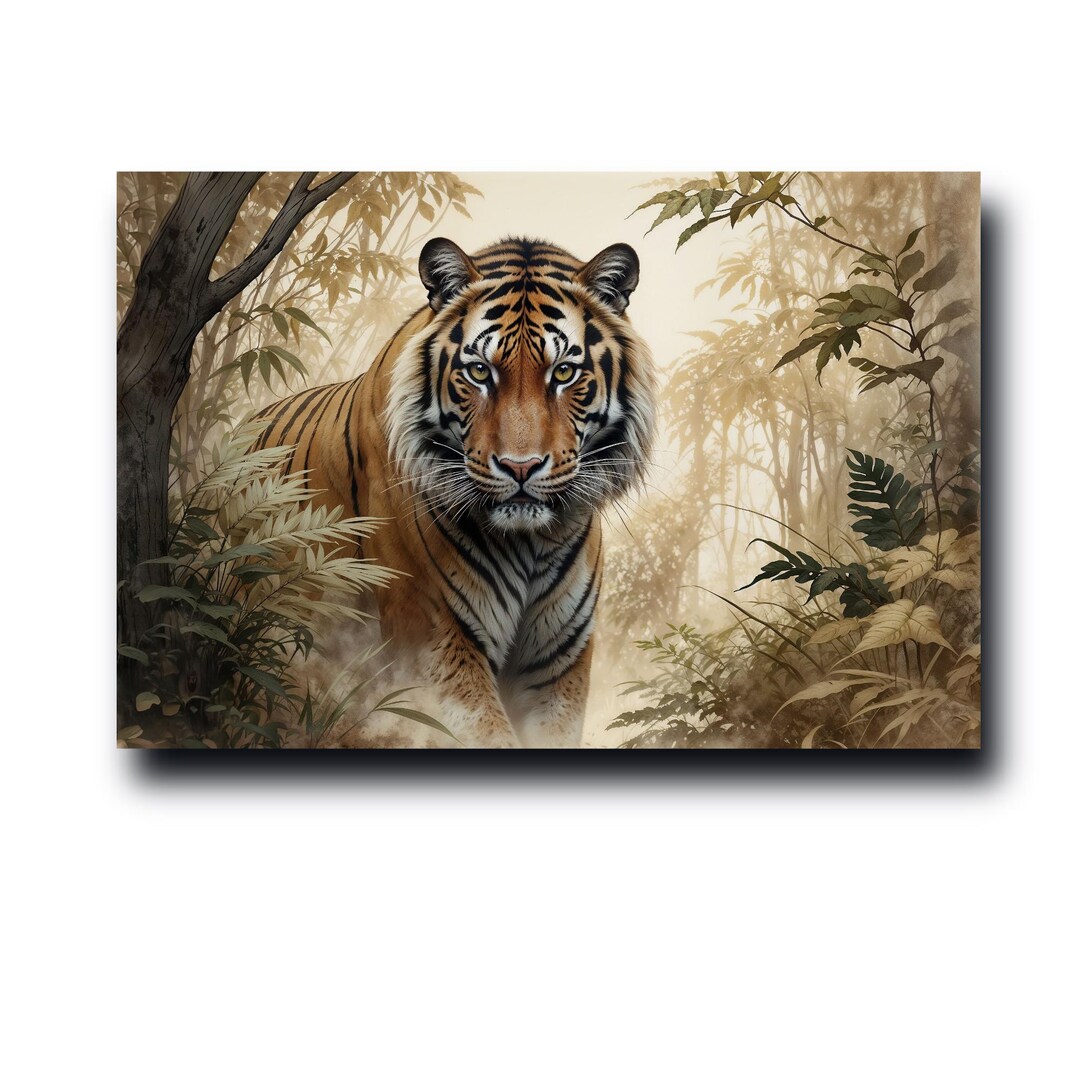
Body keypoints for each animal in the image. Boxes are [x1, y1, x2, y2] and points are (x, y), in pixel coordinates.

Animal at [253, 236, 656, 747]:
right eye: (480, 372)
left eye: (564, 372)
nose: (520, 466)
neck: (530, 542)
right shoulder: (437, 636)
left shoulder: (556, 657)